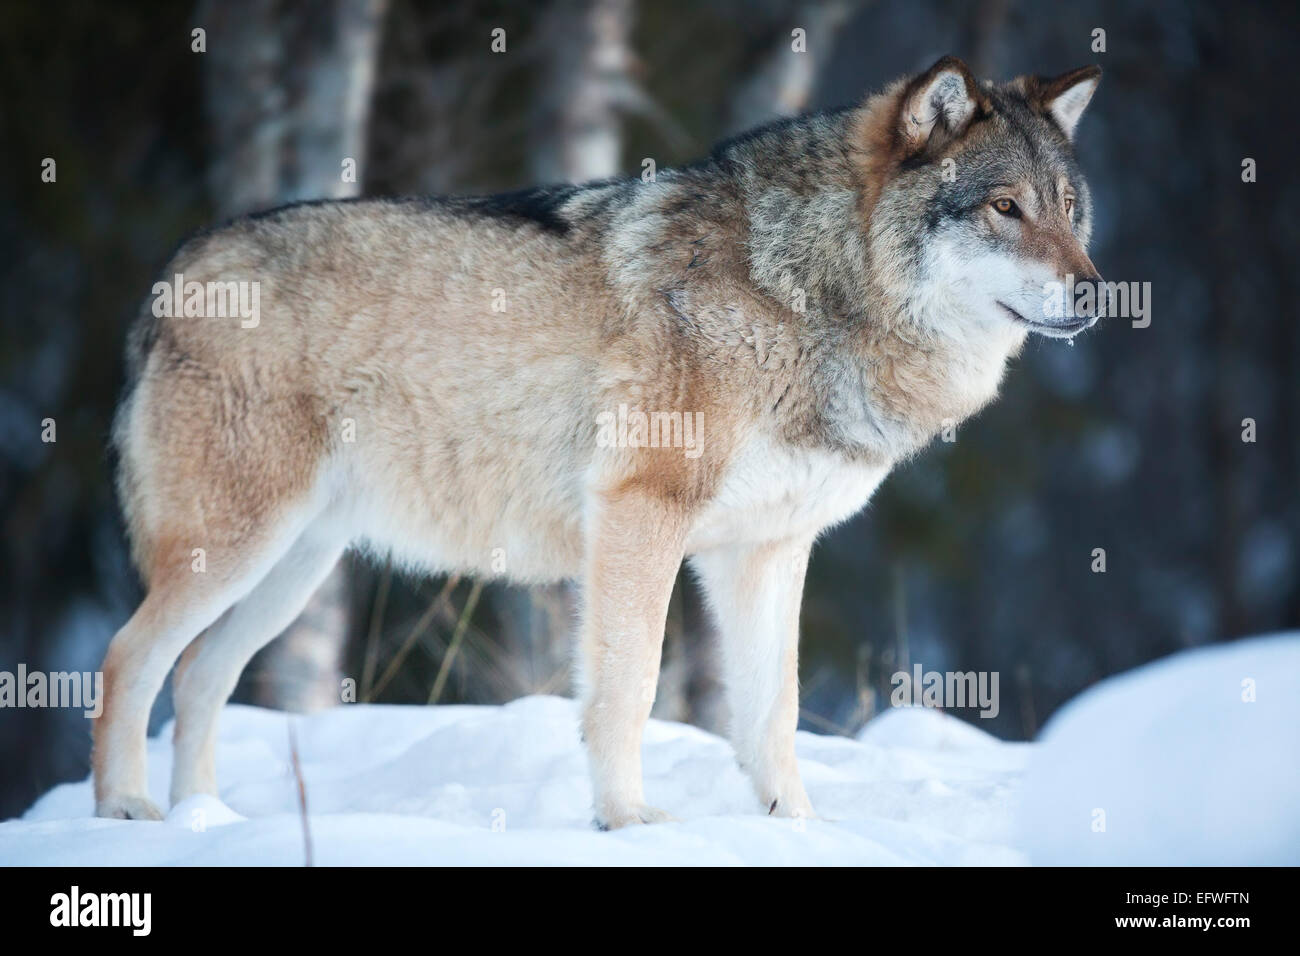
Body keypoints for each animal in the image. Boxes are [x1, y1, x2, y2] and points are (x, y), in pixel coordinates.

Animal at [96, 56, 1102, 828]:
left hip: (293, 570)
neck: (807, 291)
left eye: (1070, 209)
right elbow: (630, 687)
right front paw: (627, 821)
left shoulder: (766, 551)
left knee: (197, 675)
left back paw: (207, 822)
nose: (1097, 290)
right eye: (1004, 208)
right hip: (236, 552)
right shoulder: (641, 515)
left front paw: (801, 833)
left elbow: (771, 717)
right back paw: (129, 814)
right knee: (126, 659)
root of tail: (174, 272)